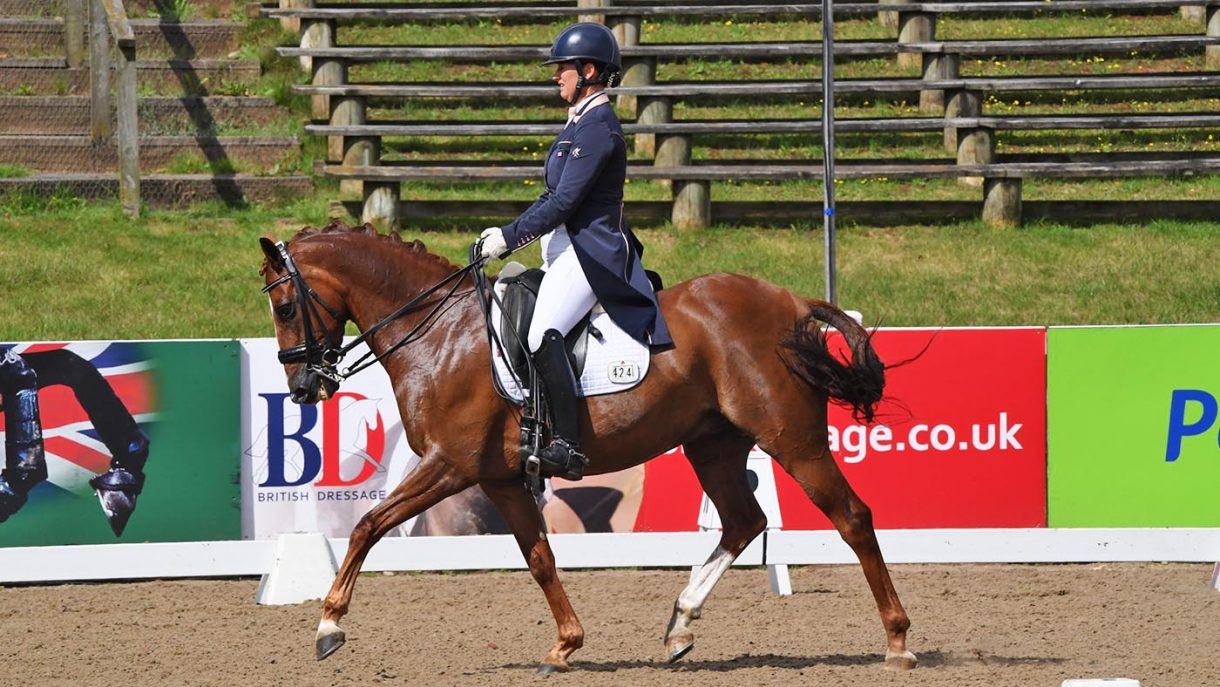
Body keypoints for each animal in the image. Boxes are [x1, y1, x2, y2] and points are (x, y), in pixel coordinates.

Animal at [258, 221, 916, 673]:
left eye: (286, 306)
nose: (303, 387)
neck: (441, 335)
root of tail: (790, 301)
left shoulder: (448, 464)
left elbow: (367, 525)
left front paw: (328, 624)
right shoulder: (498, 477)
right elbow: (540, 557)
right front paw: (565, 644)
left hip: (791, 439)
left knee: (852, 517)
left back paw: (898, 640)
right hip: (714, 445)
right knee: (743, 522)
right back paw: (680, 626)